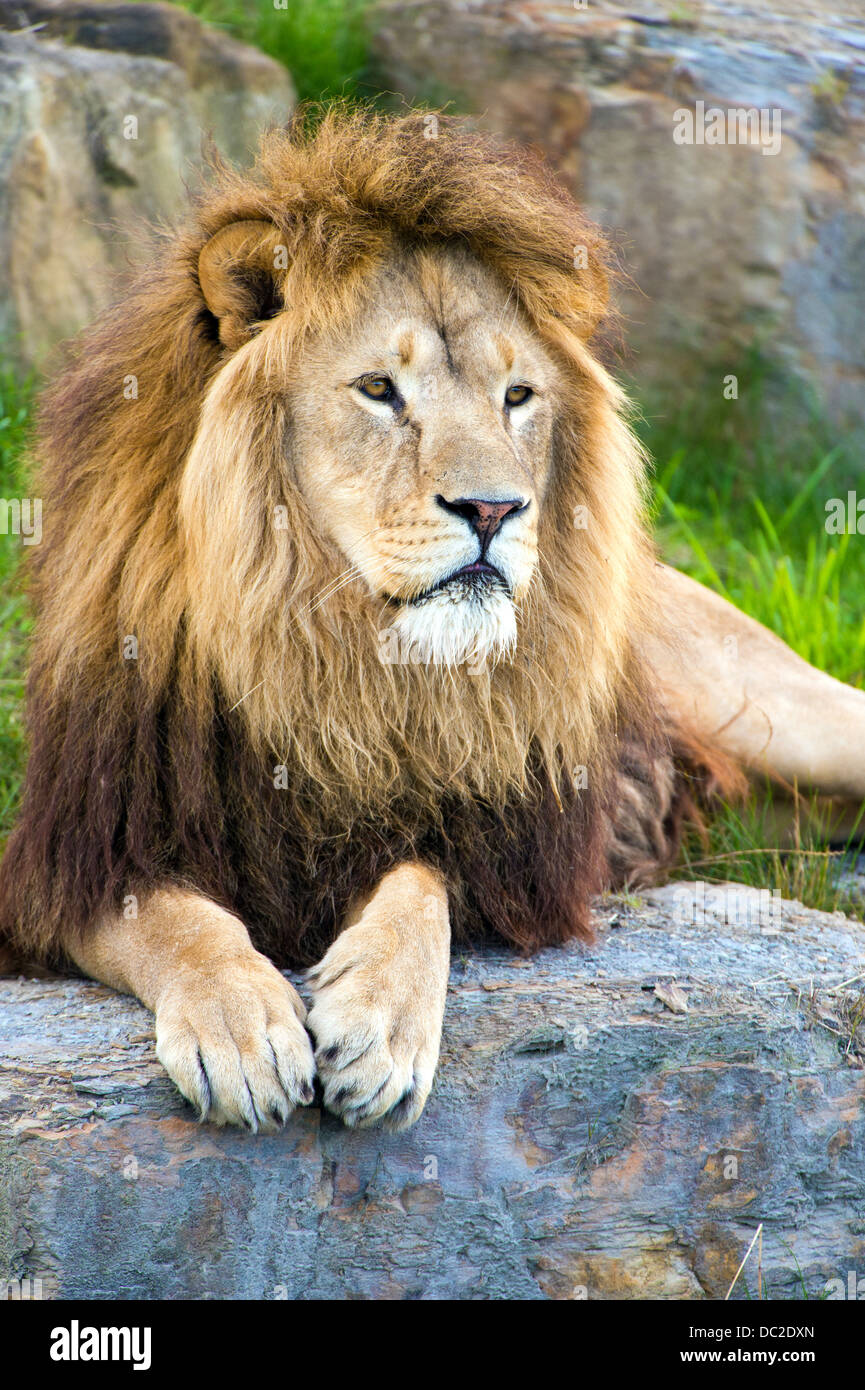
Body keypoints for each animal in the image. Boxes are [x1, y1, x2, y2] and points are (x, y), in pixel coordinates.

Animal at [2, 107, 864, 1133]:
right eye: (378, 389)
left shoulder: (502, 846)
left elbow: (421, 885)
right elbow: (174, 920)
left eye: (517, 397)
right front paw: (240, 1026)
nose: (493, 509)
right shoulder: (68, 858)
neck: (329, 652)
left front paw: (378, 1026)